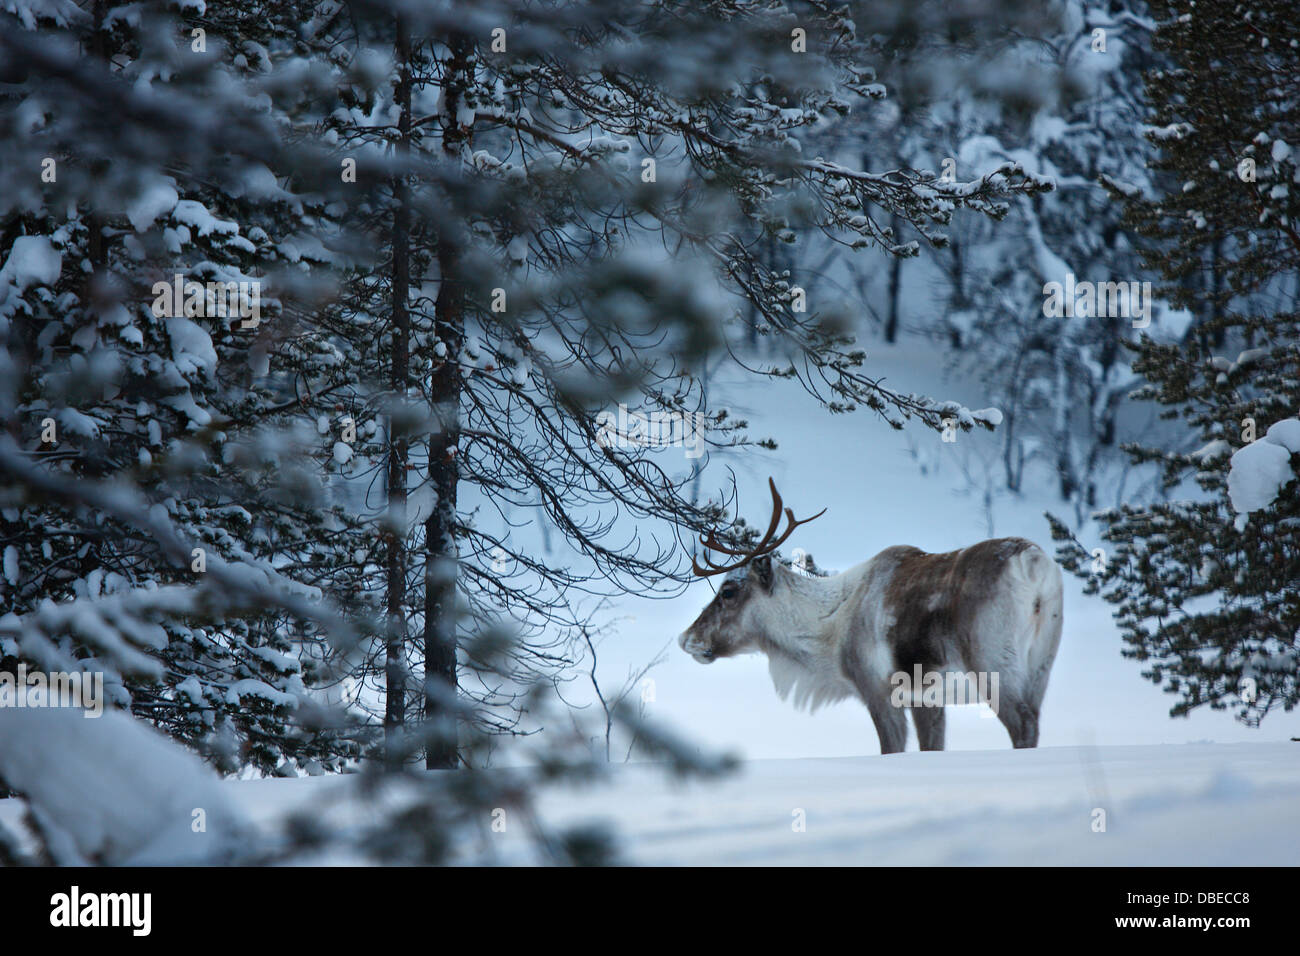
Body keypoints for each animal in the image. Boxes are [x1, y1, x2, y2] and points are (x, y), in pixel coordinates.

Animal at [678, 478, 1063, 753]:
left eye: (728, 591)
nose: (687, 639)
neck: (828, 634)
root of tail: (1034, 566)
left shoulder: (877, 688)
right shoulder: (926, 699)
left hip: (992, 661)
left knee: (1021, 723)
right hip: (1041, 666)